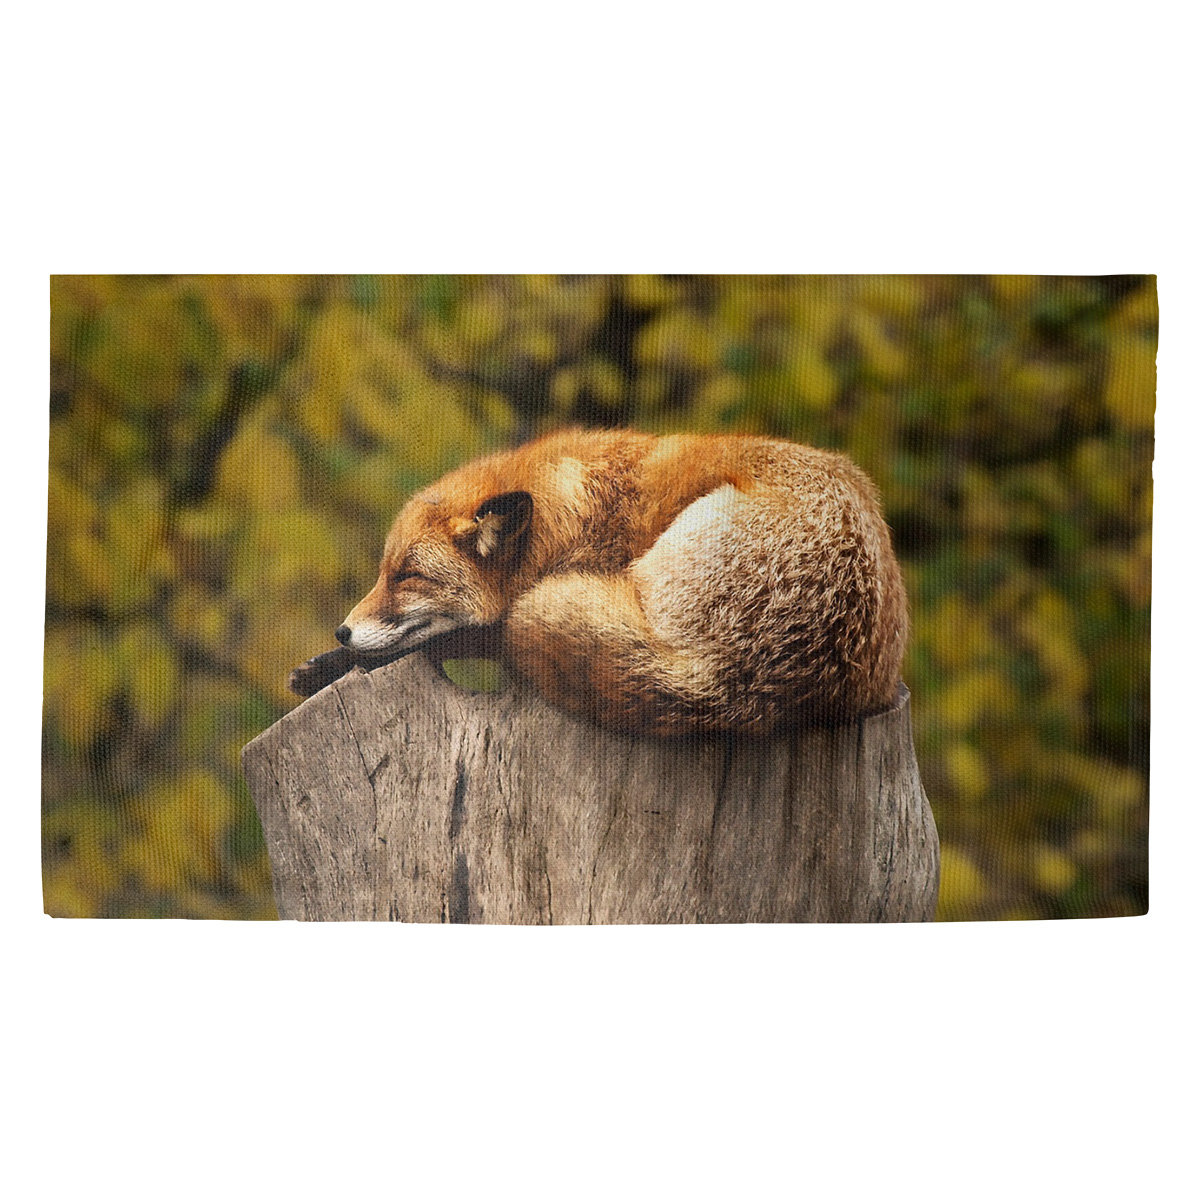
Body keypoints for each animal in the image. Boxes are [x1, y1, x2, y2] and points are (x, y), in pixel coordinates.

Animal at [289, 428, 909, 735]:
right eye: (382, 572)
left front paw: (336, 662)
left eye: (408, 576)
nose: (342, 631)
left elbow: (459, 637)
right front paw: (328, 662)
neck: (575, 517)